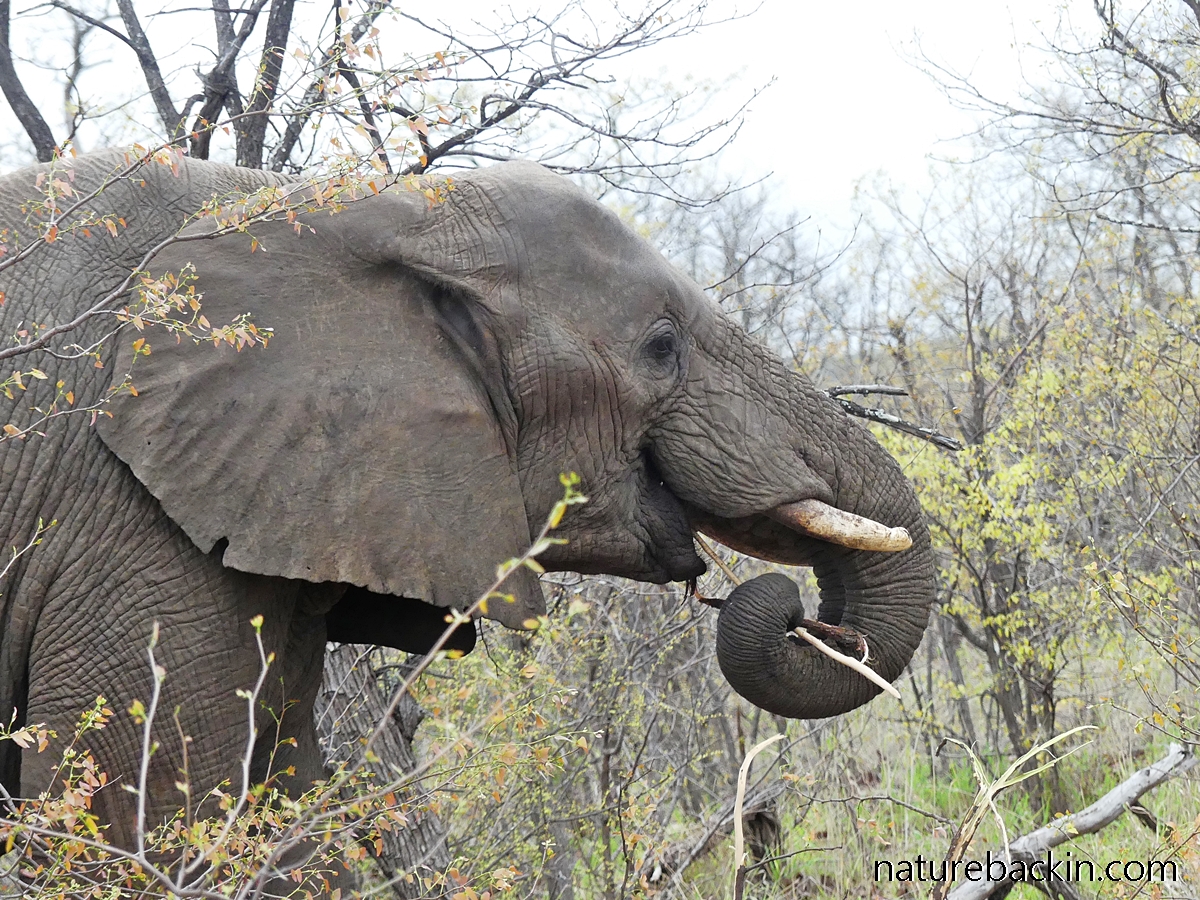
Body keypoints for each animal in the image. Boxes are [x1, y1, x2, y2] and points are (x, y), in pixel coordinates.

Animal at [0, 151, 934, 848]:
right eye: (663, 347)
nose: (807, 617)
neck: (365, 209)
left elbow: (285, 791)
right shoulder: (128, 518)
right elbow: (142, 816)